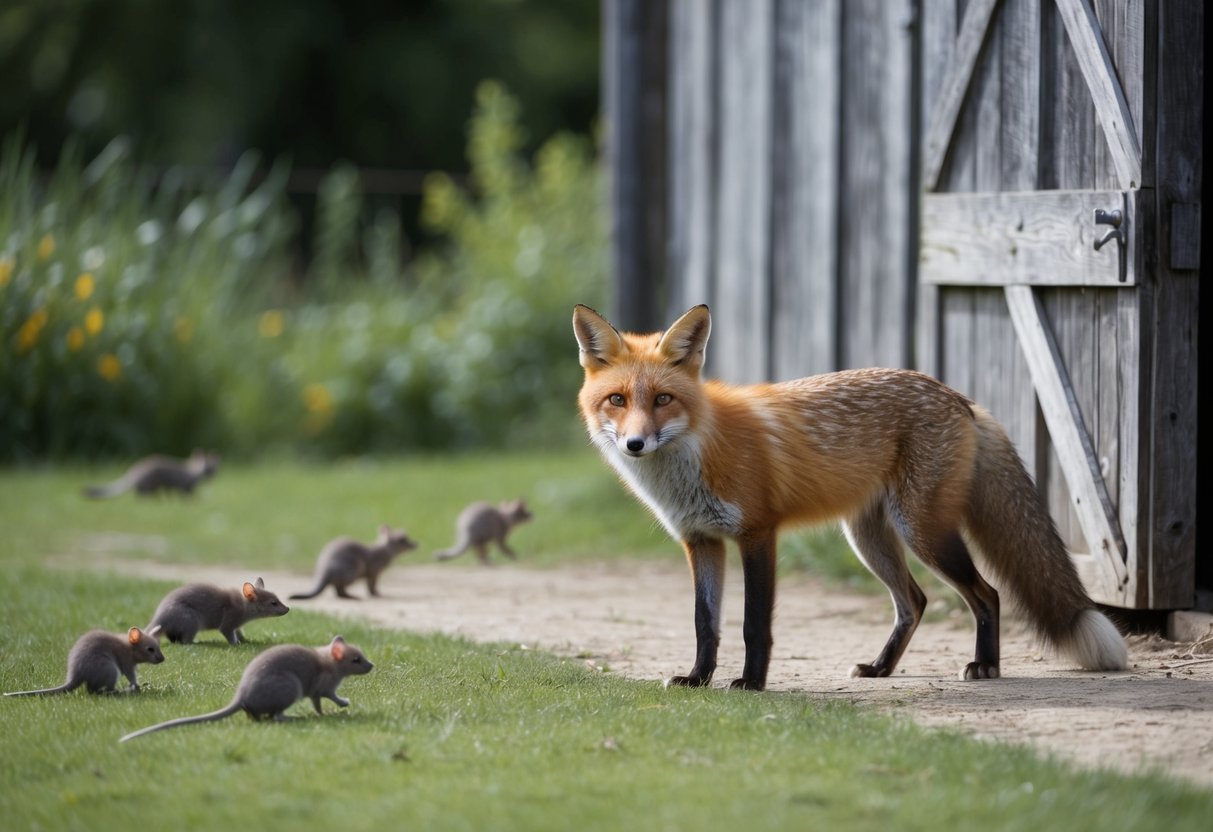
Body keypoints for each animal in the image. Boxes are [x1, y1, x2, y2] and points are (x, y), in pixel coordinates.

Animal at [572, 303, 1127, 691]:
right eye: (617, 400)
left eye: (663, 399)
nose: (635, 444)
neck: (697, 454)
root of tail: (958, 396)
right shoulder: (701, 541)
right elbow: (704, 623)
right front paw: (697, 679)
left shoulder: (757, 533)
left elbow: (753, 623)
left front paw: (751, 683)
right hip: (868, 538)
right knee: (915, 602)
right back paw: (881, 668)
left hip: (923, 531)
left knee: (986, 593)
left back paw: (985, 665)